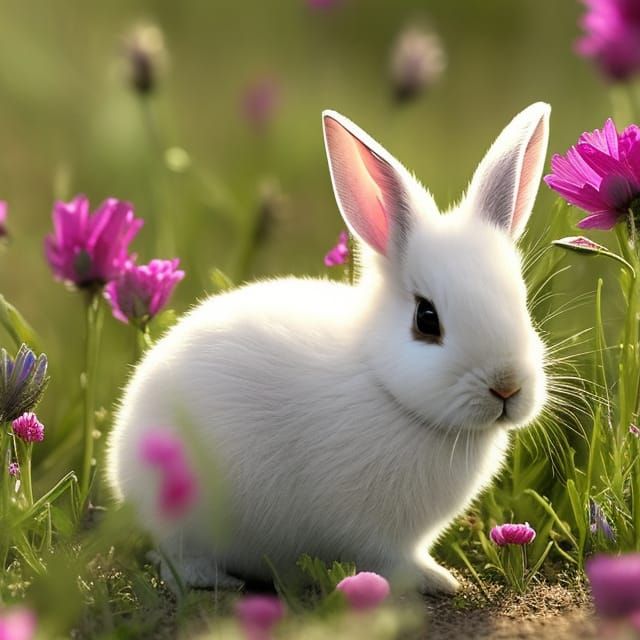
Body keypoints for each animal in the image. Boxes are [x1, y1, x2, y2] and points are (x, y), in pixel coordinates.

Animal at [106, 102, 550, 596]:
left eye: (523, 304)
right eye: (426, 319)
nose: (507, 387)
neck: (389, 392)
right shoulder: (372, 534)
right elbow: (392, 558)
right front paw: (438, 580)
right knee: (173, 556)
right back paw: (211, 578)